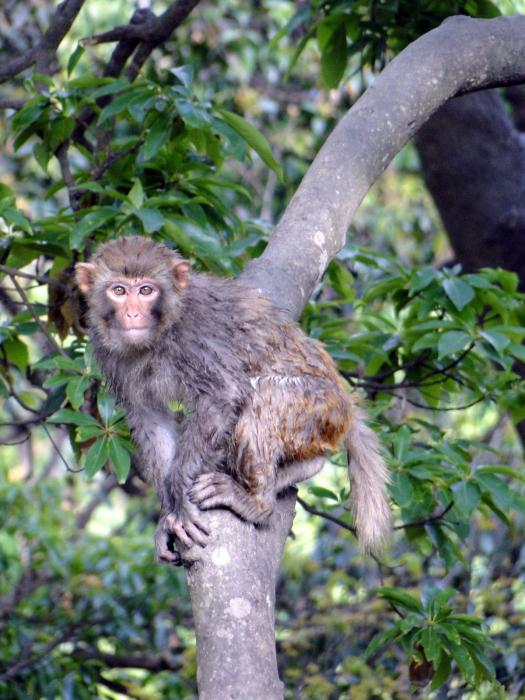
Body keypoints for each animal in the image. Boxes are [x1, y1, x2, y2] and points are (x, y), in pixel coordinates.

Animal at [75, 236, 391, 564]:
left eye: (146, 290)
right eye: (119, 290)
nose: (133, 314)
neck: (160, 334)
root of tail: (347, 405)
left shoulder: (195, 339)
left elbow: (221, 395)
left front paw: (179, 492)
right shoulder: (111, 357)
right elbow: (149, 417)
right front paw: (168, 515)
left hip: (321, 407)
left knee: (264, 395)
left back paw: (257, 504)